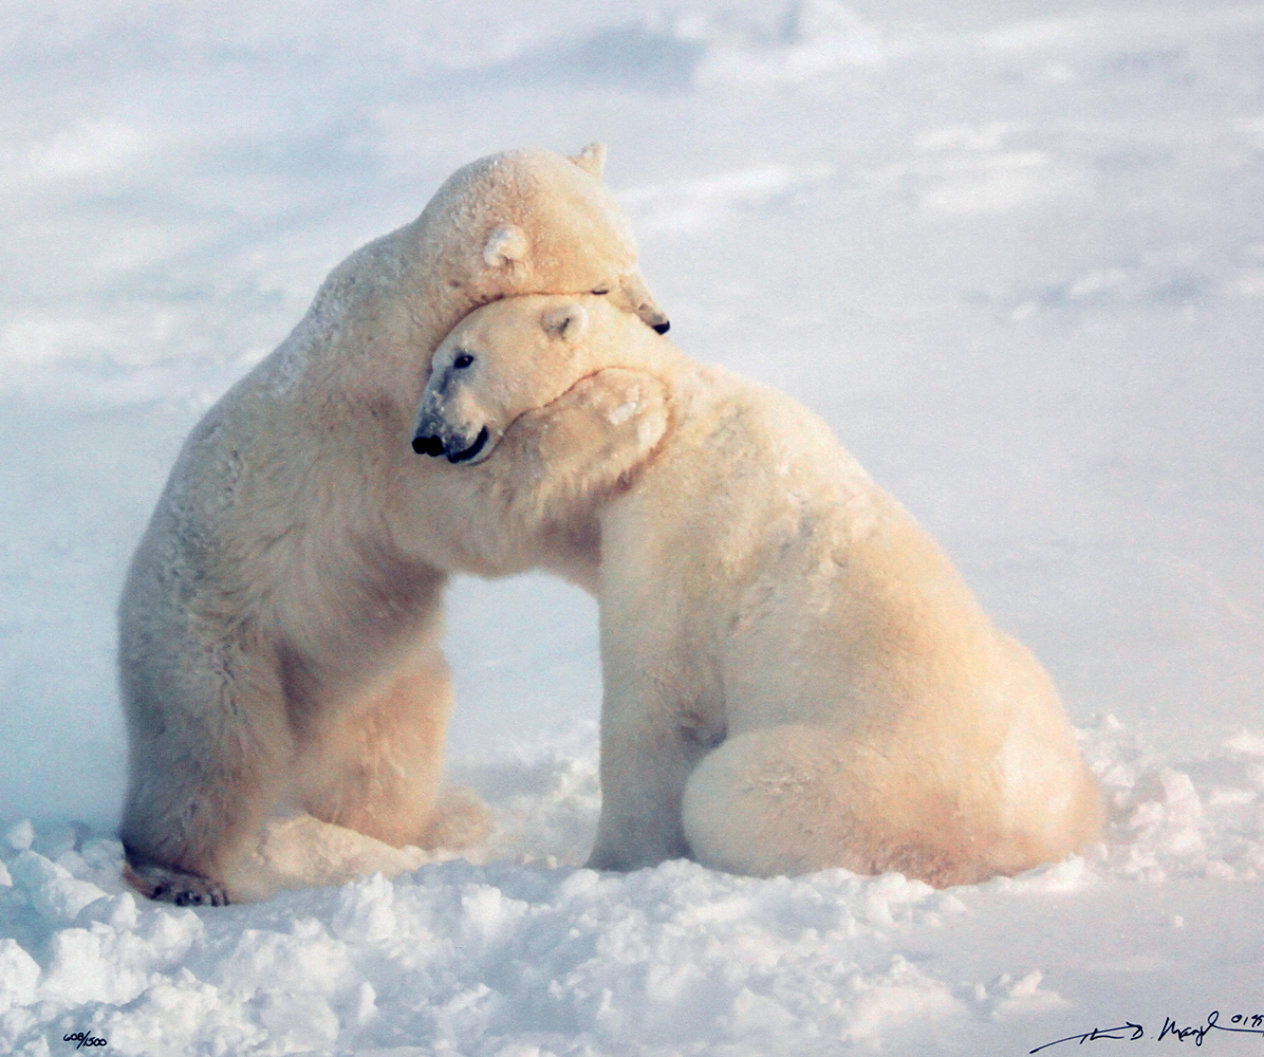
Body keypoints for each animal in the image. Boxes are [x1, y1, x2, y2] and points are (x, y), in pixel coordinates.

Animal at [118, 145, 670, 906]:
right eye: (597, 284)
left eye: (633, 254)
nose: (661, 323)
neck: (413, 303)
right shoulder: (381, 431)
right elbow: (481, 511)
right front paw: (623, 404)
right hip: (212, 646)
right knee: (214, 757)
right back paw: (182, 875)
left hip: (375, 670)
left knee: (389, 746)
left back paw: (435, 823)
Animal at [410, 293, 1104, 886]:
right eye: (437, 360)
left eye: (463, 358)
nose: (427, 437)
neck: (686, 403)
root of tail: (1025, 841)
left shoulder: (677, 531)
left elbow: (656, 702)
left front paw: (611, 862)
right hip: (1028, 690)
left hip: (858, 782)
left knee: (727, 792)